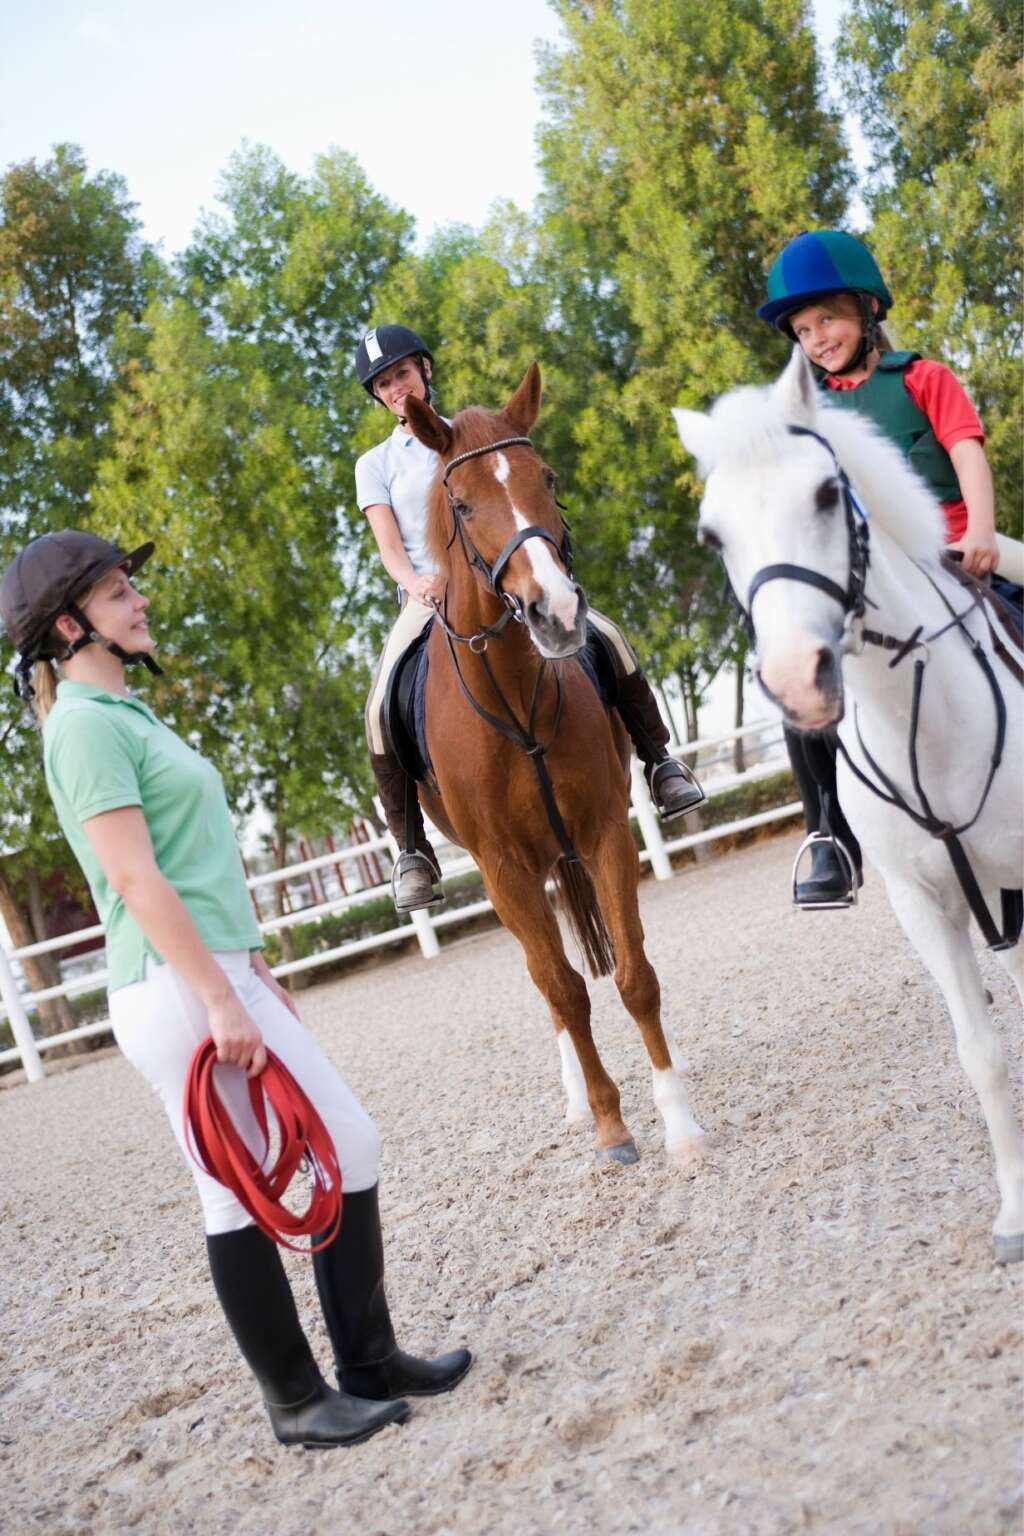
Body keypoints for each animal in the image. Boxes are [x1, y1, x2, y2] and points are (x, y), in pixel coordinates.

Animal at [673, 346, 1024, 1262]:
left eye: (828, 494)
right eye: (713, 535)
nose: (798, 679)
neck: (926, 722)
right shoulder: (923, 901)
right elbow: (980, 1051)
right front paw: (1014, 1211)